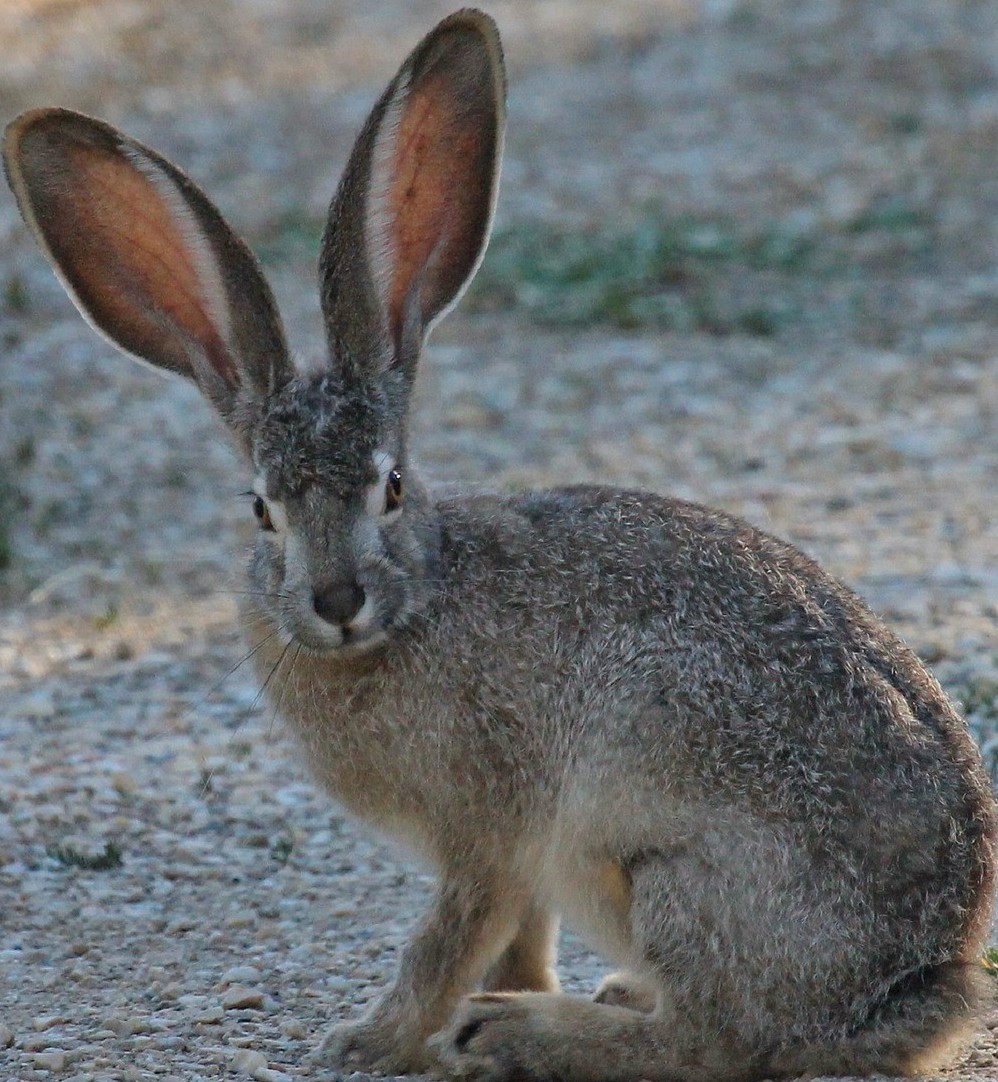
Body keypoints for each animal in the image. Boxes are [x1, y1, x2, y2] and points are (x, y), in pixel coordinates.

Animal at [4, 8, 997, 1081]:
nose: (337, 600)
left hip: (669, 866)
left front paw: (374, 1039)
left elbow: (448, 936)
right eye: (261, 508)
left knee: (719, 1039)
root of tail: (921, 982)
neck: (417, 602)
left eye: (392, 487)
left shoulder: (488, 826)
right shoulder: (511, 856)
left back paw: (524, 1033)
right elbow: (515, 937)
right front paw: (473, 1010)